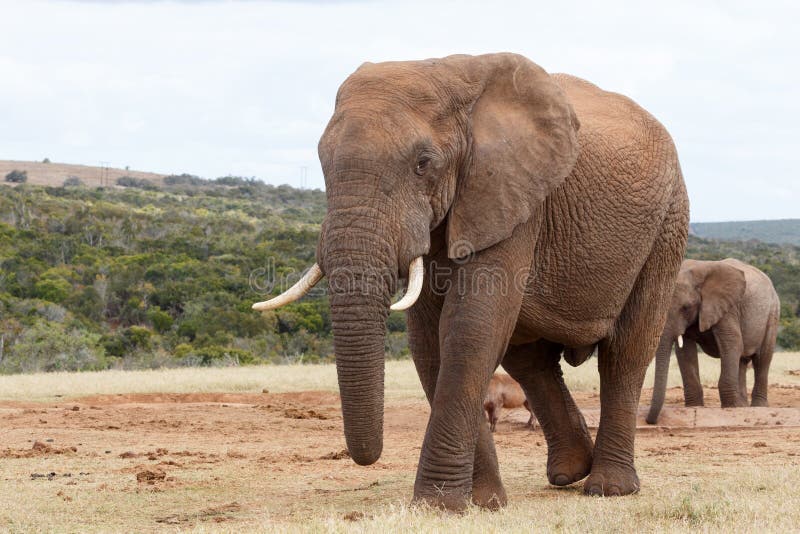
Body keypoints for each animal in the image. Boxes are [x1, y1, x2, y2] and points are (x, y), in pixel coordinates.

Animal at [253, 53, 689, 510]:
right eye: (322, 160)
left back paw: (608, 488)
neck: (447, 74)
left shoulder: (511, 194)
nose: (368, 458)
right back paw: (569, 471)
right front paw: (482, 502)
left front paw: (438, 506)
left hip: (668, 223)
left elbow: (469, 327)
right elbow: (430, 340)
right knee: (530, 360)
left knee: (626, 350)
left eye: (423, 163)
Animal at [646, 259, 780, 424]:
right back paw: (743, 406)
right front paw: (694, 406)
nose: (650, 420)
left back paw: (757, 407)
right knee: (742, 361)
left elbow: (732, 342)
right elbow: (685, 352)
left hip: (772, 313)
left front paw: (731, 407)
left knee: (762, 359)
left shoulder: (728, 307)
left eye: (686, 307)